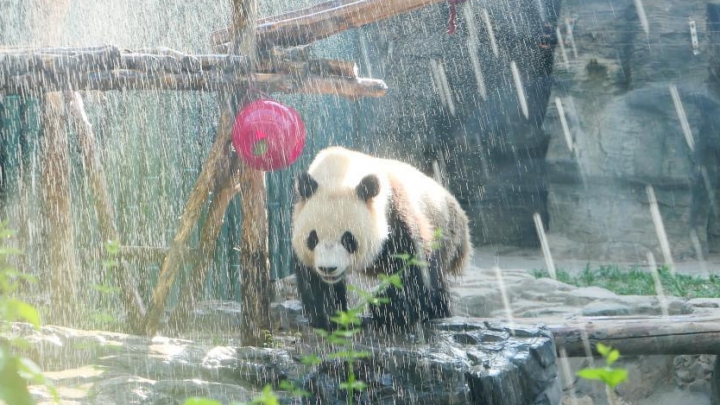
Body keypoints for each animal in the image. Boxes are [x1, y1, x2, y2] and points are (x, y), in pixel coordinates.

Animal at [291, 146, 471, 331]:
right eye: (312, 239)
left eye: (348, 239)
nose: (328, 268)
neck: (338, 174)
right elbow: (313, 281)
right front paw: (331, 317)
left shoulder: (395, 211)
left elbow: (413, 268)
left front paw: (391, 310)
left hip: (447, 233)